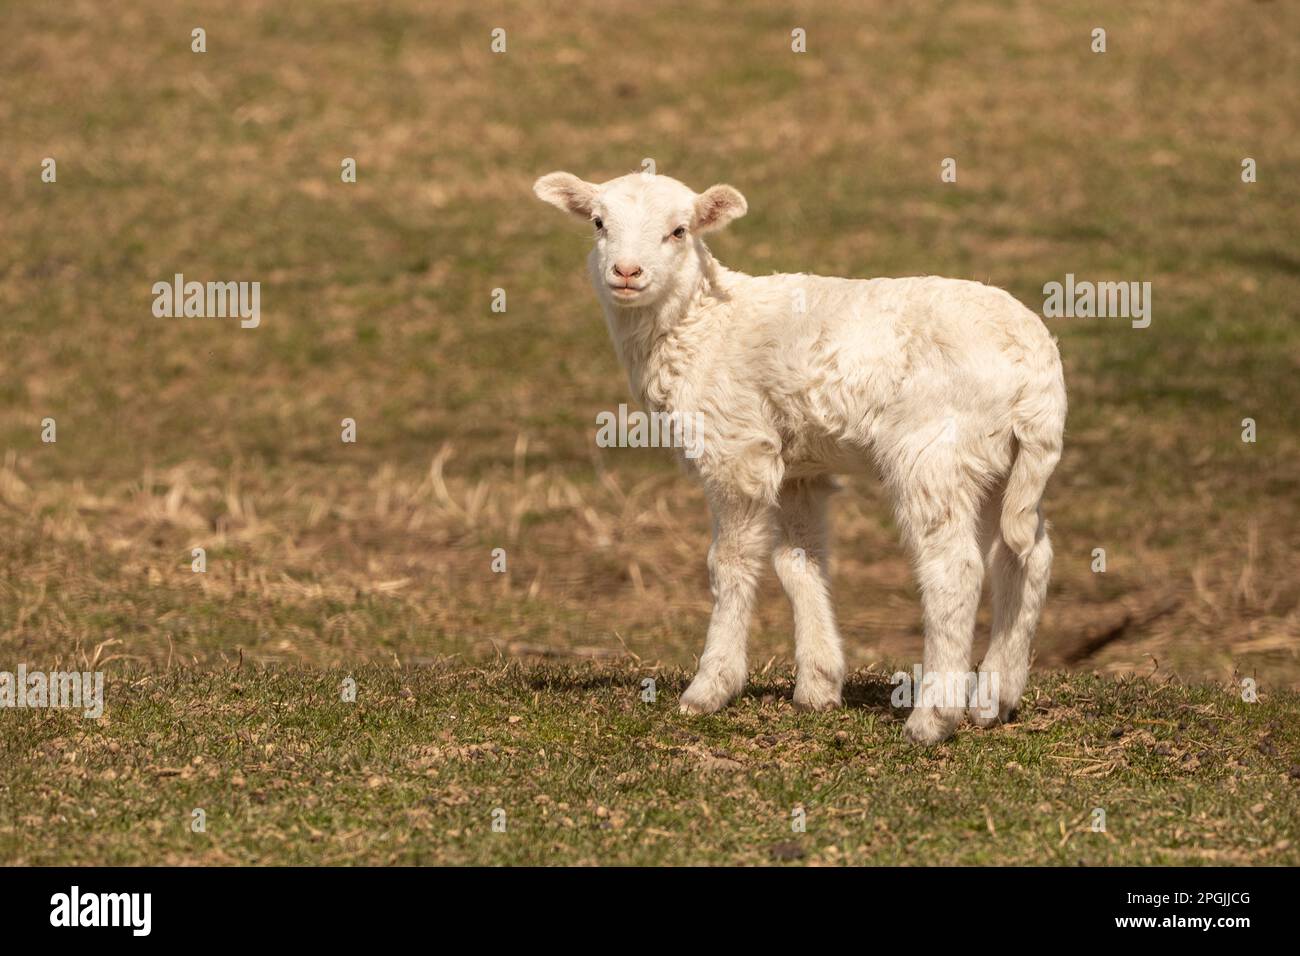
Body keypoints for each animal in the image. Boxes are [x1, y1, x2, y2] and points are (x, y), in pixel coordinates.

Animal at [534, 170, 1066, 743]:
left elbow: (730, 563)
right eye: (598, 222)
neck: (702, 326)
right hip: (1001, 460)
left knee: (956, 569)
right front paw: (817, 686)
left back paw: (932, 718)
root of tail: (1037, 370)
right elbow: (800, 563)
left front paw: (710, 688)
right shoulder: (797, 467)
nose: (627, 272)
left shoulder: (737, 448)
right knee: (1024, 557)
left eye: (679, 230)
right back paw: (995, 699)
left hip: (933, 450)